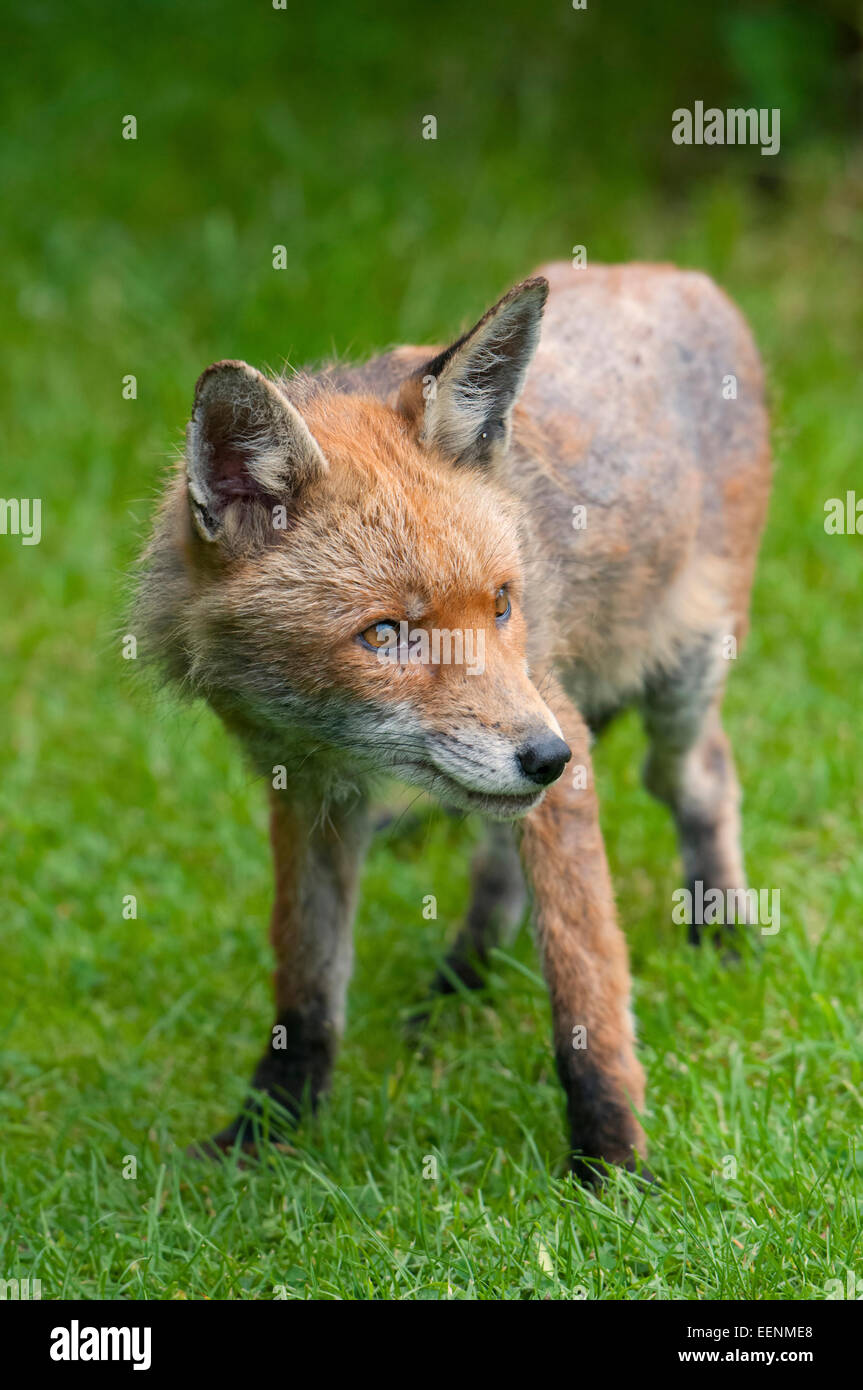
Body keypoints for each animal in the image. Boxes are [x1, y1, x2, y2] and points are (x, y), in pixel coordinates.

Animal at [134, 261, 771, 1181]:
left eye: (501, 604)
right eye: (384, 635)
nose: (547, 756)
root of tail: (683, 278)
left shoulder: (554, 720)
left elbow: (585, 982)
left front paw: (611, 1164)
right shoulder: (309, 791)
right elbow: (306, 982)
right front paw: (266, 1131)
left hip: (677, 680)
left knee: (698, 781)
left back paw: (719, 937)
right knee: (499, 851)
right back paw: (461, 981)